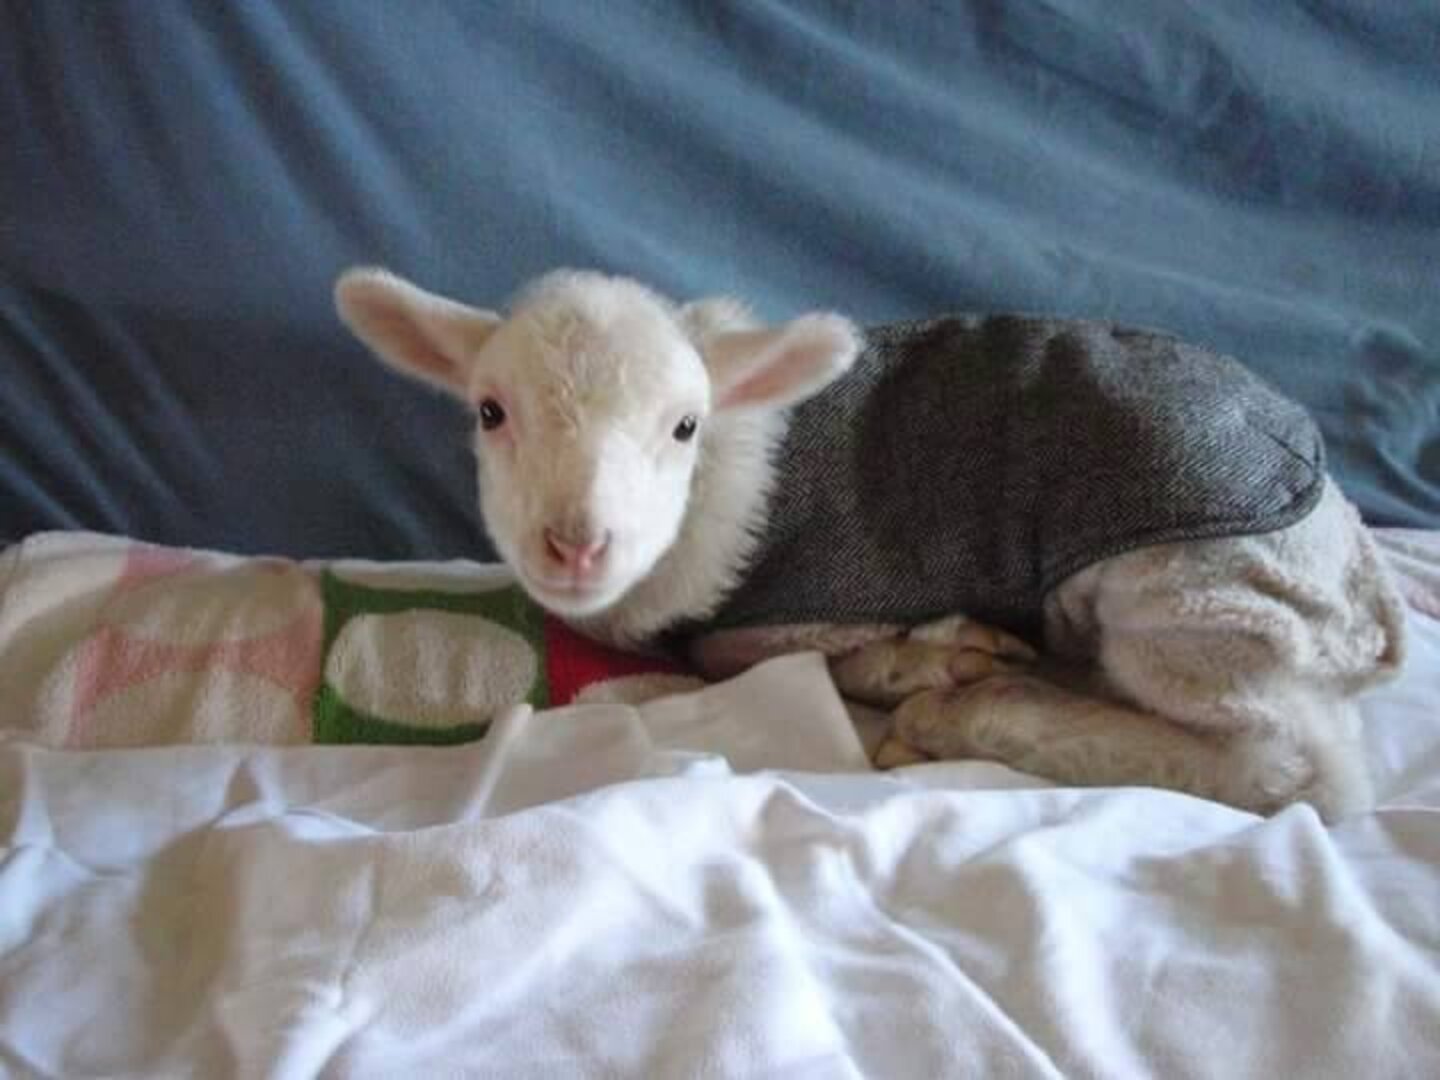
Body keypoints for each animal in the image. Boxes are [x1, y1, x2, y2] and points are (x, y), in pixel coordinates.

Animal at [335, 267, 1407, 821]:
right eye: (490, 411)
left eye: (684, 426)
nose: (576, 545)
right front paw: (933, 656)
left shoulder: (796, 599)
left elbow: (746, 650)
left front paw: (918, 664)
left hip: (1189, 591)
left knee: (1296, 771)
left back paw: (962, 714)